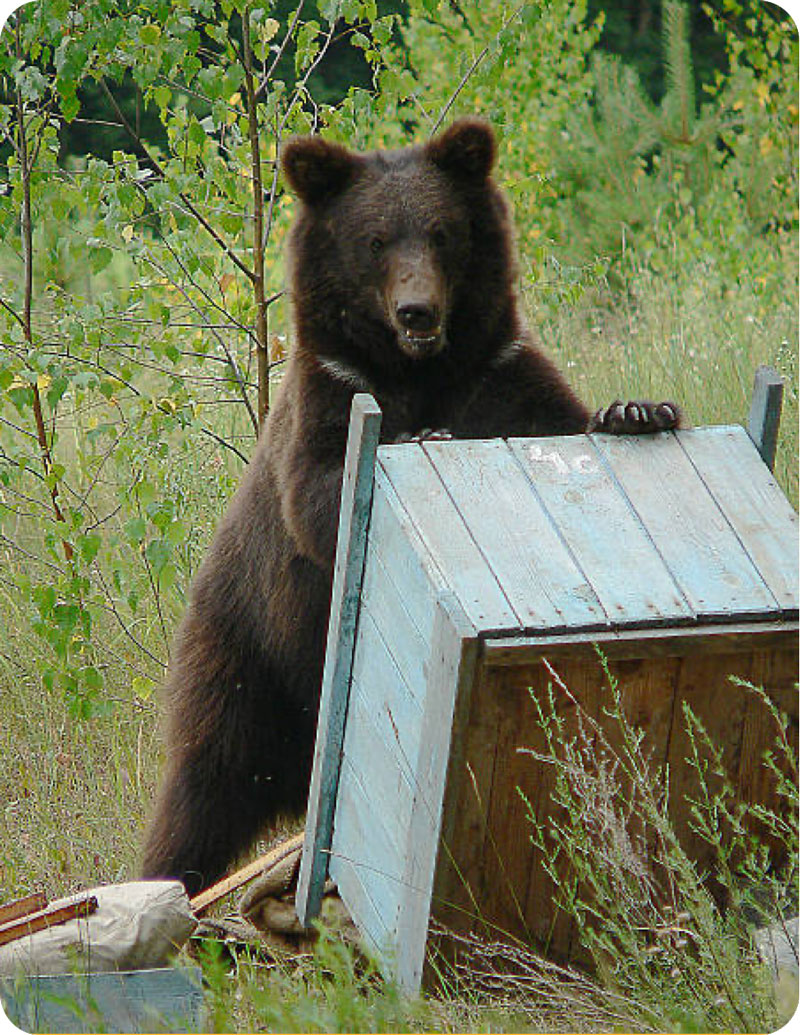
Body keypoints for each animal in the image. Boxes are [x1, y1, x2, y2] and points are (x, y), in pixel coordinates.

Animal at [140, 117, 679, 896]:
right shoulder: (332, 394)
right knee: (202, 790)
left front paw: (638, 410)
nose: (416, 309)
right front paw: (422, 437)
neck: (422, 371)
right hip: (247, 656)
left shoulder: (501, 377)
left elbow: (563, 416)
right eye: (374, 239)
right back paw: (168, 882)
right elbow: (321, 491)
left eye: (441, 231)